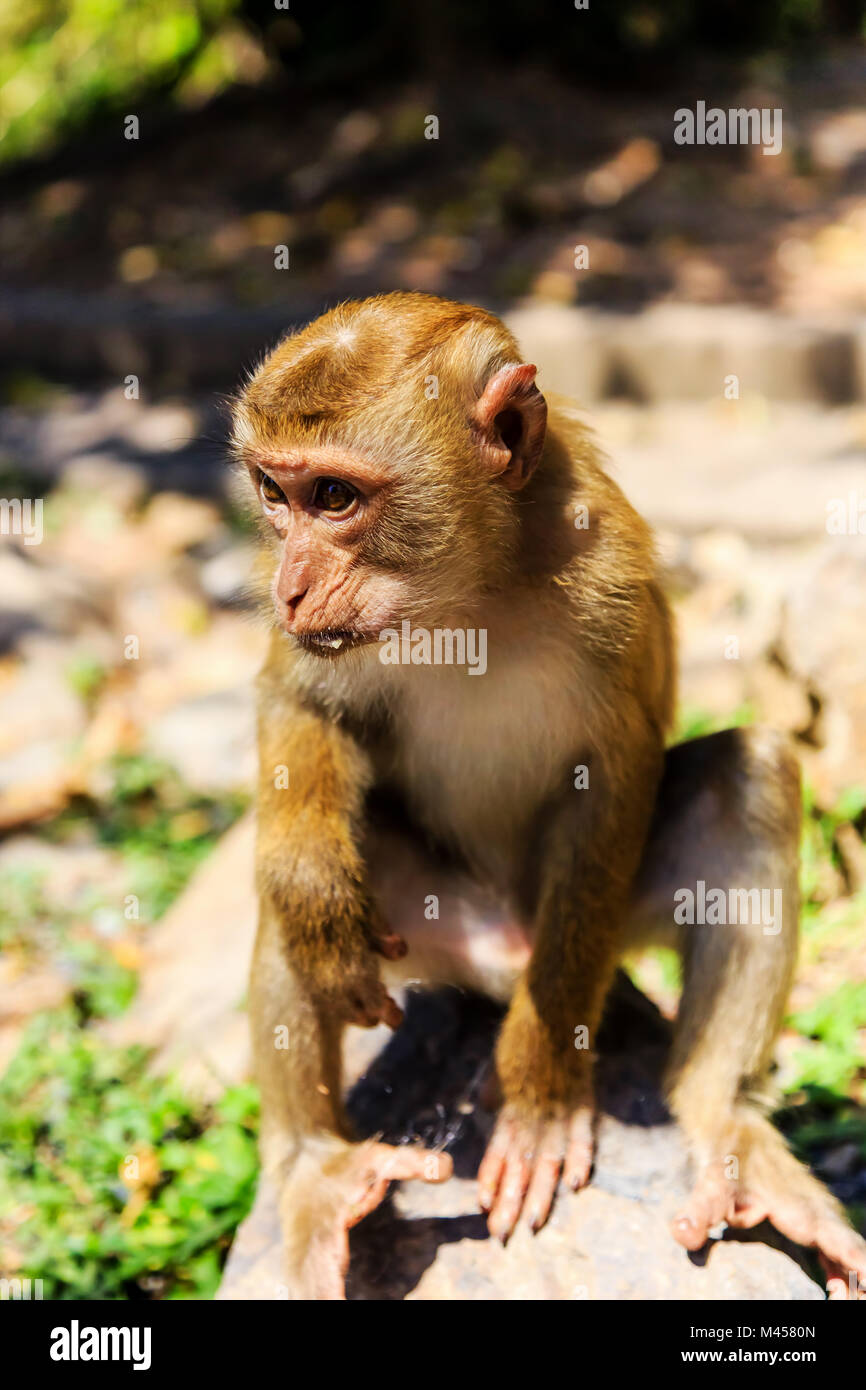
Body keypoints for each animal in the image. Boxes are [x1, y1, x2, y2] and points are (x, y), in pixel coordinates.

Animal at [231, 291, 866, 1300]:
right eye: (271, 494)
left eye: (333, 497)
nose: (289, 588)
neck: (465, 596)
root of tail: (497, 953)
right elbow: (300, 705)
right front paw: (314, 888)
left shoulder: (609, 572)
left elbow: (613, 771)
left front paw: (539, 1098)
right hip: (428, 925)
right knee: (297, 911)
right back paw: (317, 1169)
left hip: (604, 934)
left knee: (754, 775)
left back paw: (723, 1126)